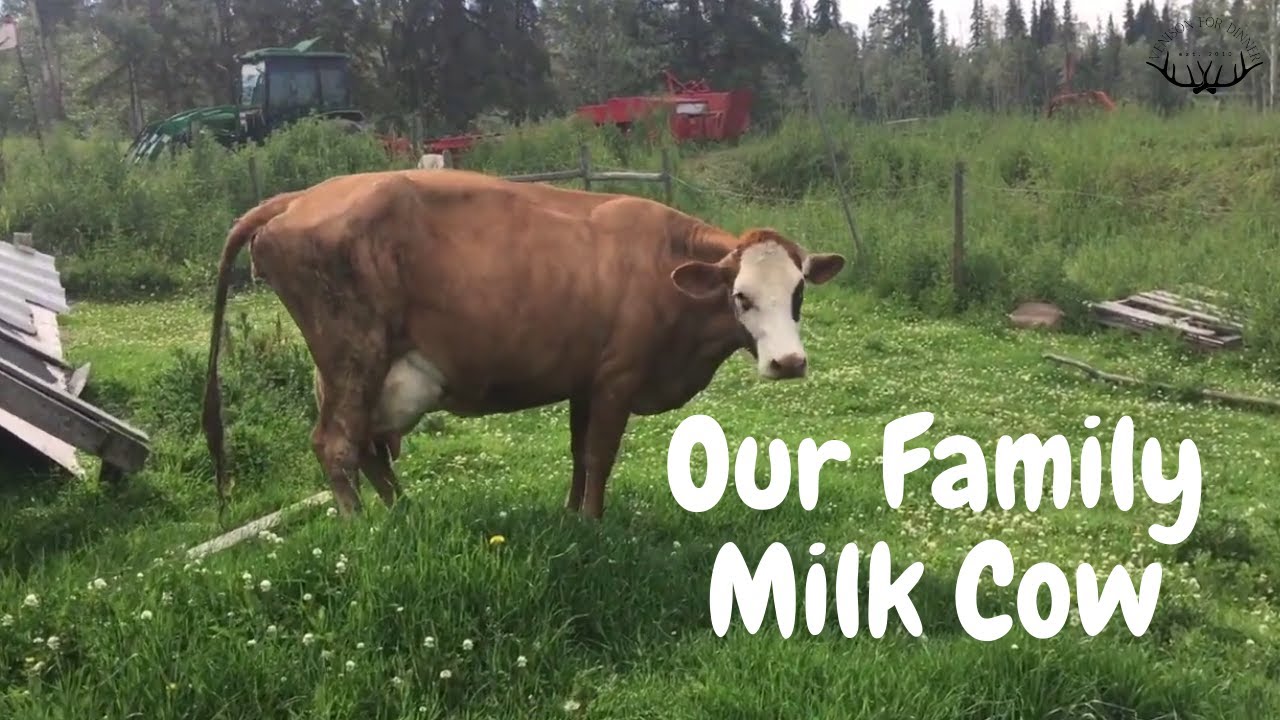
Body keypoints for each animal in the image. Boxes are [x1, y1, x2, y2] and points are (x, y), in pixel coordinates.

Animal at [202, 168, 846, 520]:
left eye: (797, 294)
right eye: (741, 297)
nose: (789, 362)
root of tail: (299, 196)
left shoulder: (586, 379)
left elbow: (579, 454)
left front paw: (571, 513)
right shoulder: (618, 377)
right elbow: (600, 456)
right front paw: (593, 524)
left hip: (357, 369)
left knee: (364, 447)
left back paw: (403, 515)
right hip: (353, 353)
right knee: (336, 445)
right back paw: (363, 528)